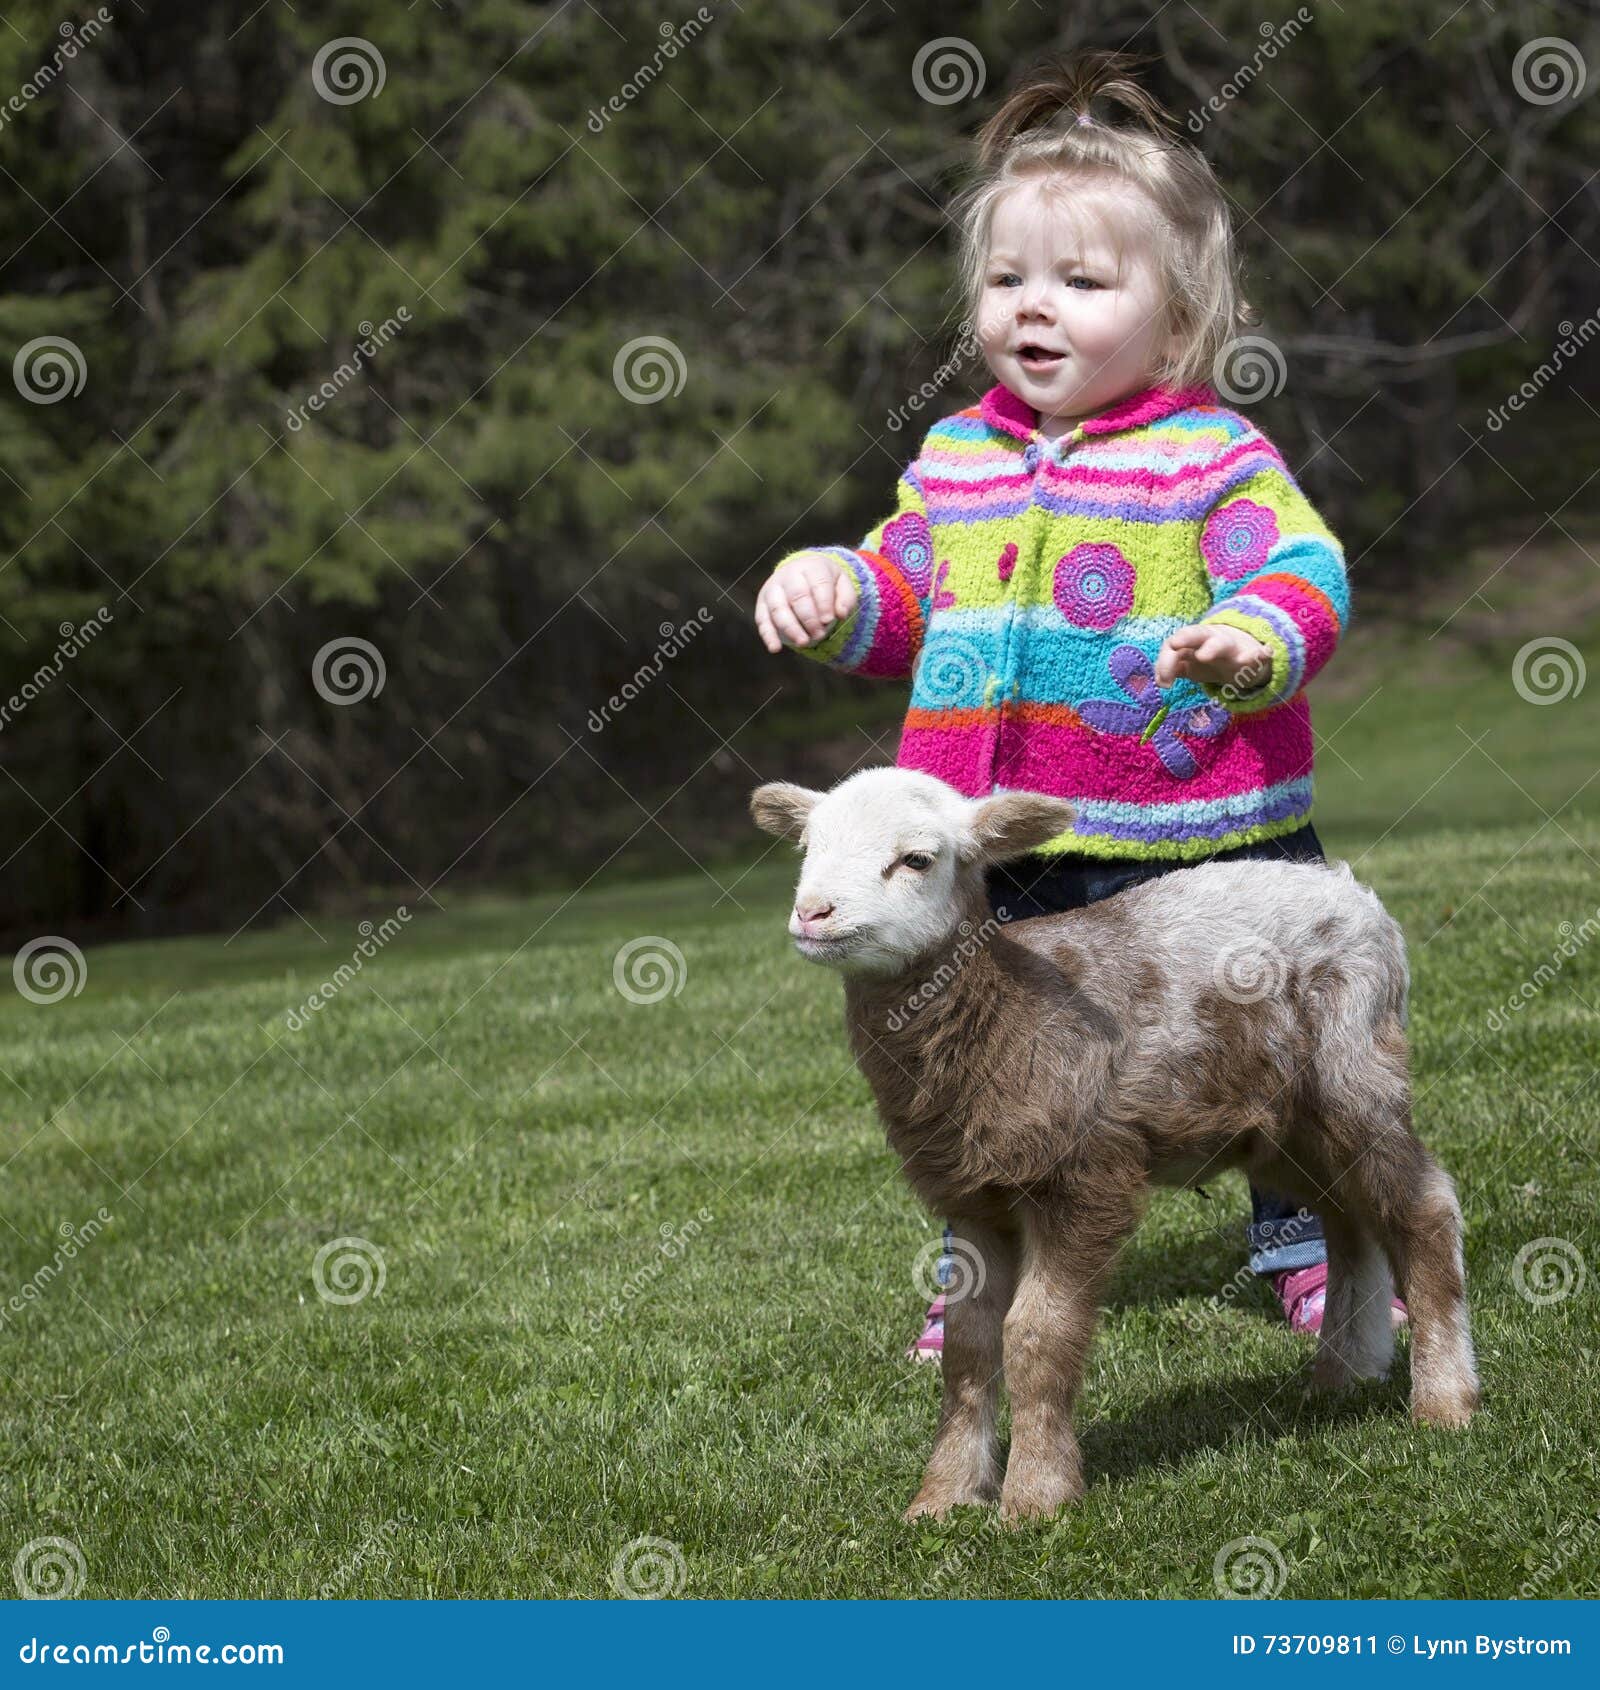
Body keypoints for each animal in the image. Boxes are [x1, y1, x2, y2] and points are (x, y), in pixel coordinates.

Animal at [749, 766, 1479, 1523]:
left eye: (916, 860)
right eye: (809, 847)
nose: (813, 914)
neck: (999, 1014)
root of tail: (1353, 894)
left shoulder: (1084, 1175)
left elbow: (1035, 1333)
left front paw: (1035, 1497)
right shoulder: (976, 1197)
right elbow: (970, 1345)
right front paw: (943, 1497)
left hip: (1353, 1064)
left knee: (1422, 1206)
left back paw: (1444, 1399)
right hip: (1282, 1124)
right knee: (1347, 1216)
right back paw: (1344, 1371)